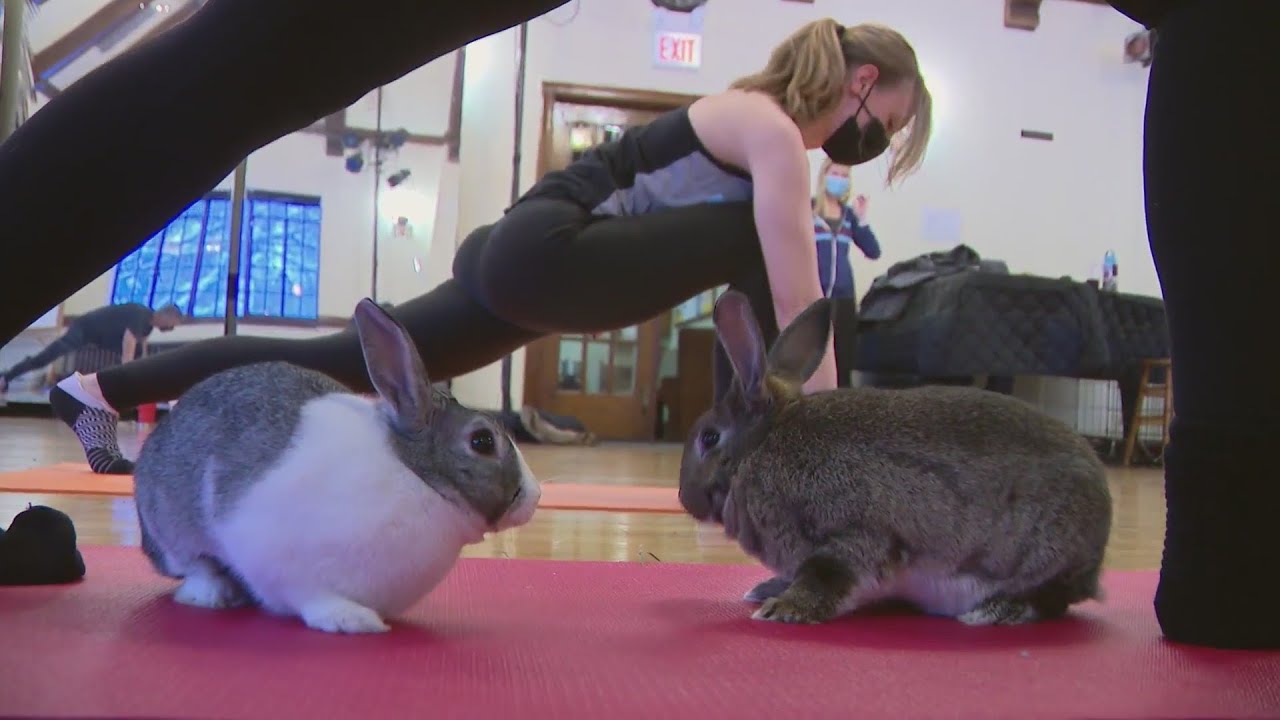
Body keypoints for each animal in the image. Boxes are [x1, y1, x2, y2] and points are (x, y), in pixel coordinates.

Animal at [132, 298, 541, 634]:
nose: (536, 497)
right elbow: (309, 597)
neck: (417, 476)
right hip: (175, 531)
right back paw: (215, 594)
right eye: (482, 441)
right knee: (194, 567)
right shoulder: (282, 560)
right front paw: (352, 620)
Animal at [678, 290, 1112, 627]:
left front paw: (782, 608)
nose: (684, 498)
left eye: (709, 438)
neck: (760, 447)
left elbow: (828, 577)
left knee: (1050, 600)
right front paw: (767, 591)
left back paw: (992, 612)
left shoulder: (853, 536)